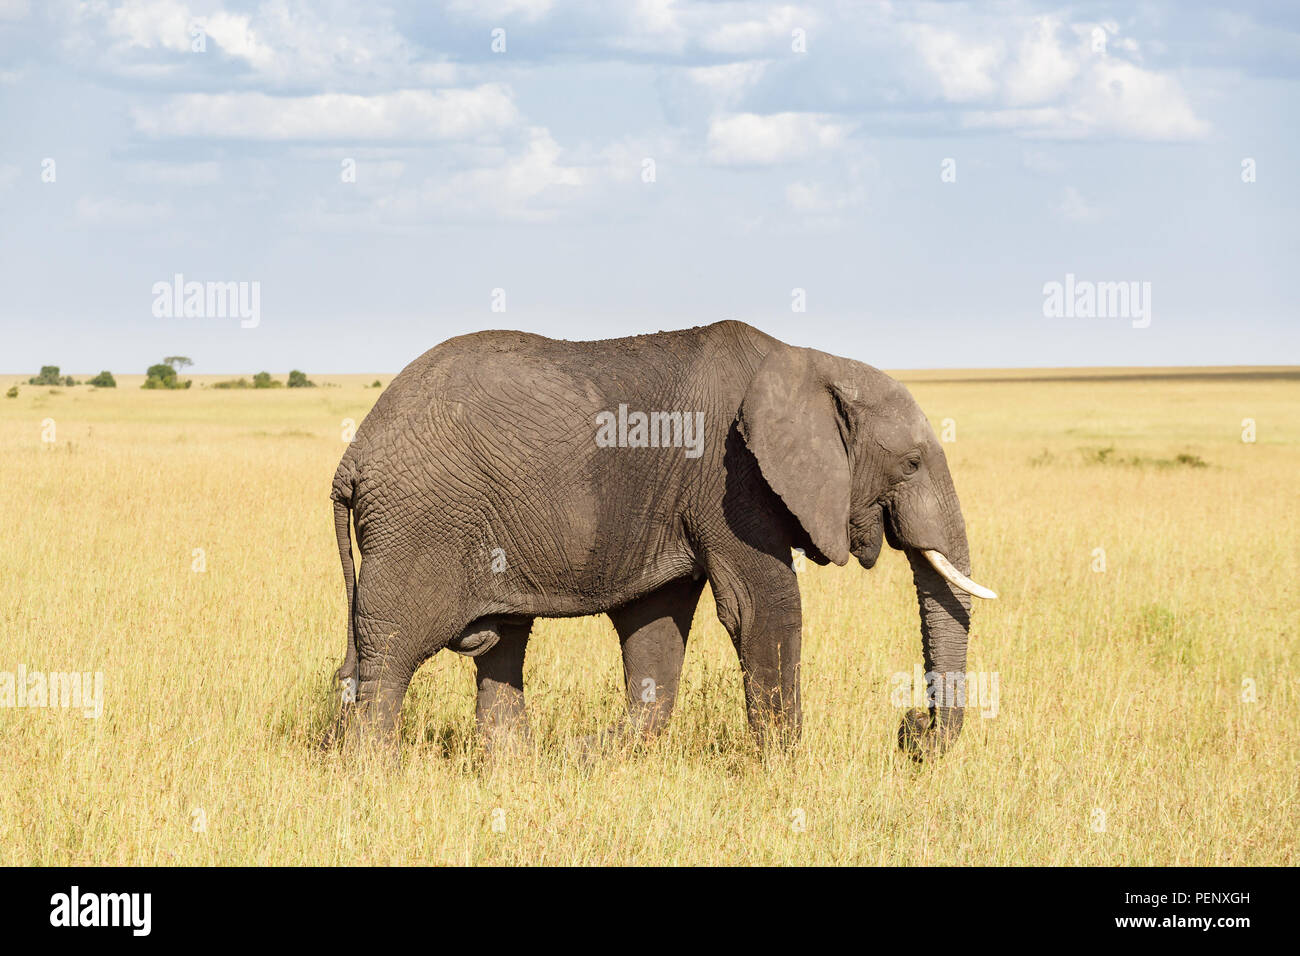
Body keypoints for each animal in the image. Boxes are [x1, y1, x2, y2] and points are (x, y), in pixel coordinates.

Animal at [329, 320, 996, 759]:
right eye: (911, 463)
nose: (912, 732)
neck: (809, 361)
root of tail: (353, 457)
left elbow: (656, 623)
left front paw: (597, 754)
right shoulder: (731, 478)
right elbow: (762, 607)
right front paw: (785, 771)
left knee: (498, 642)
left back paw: (512, 769)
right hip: (421, 522)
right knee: (392, 649)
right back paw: (374, 777)